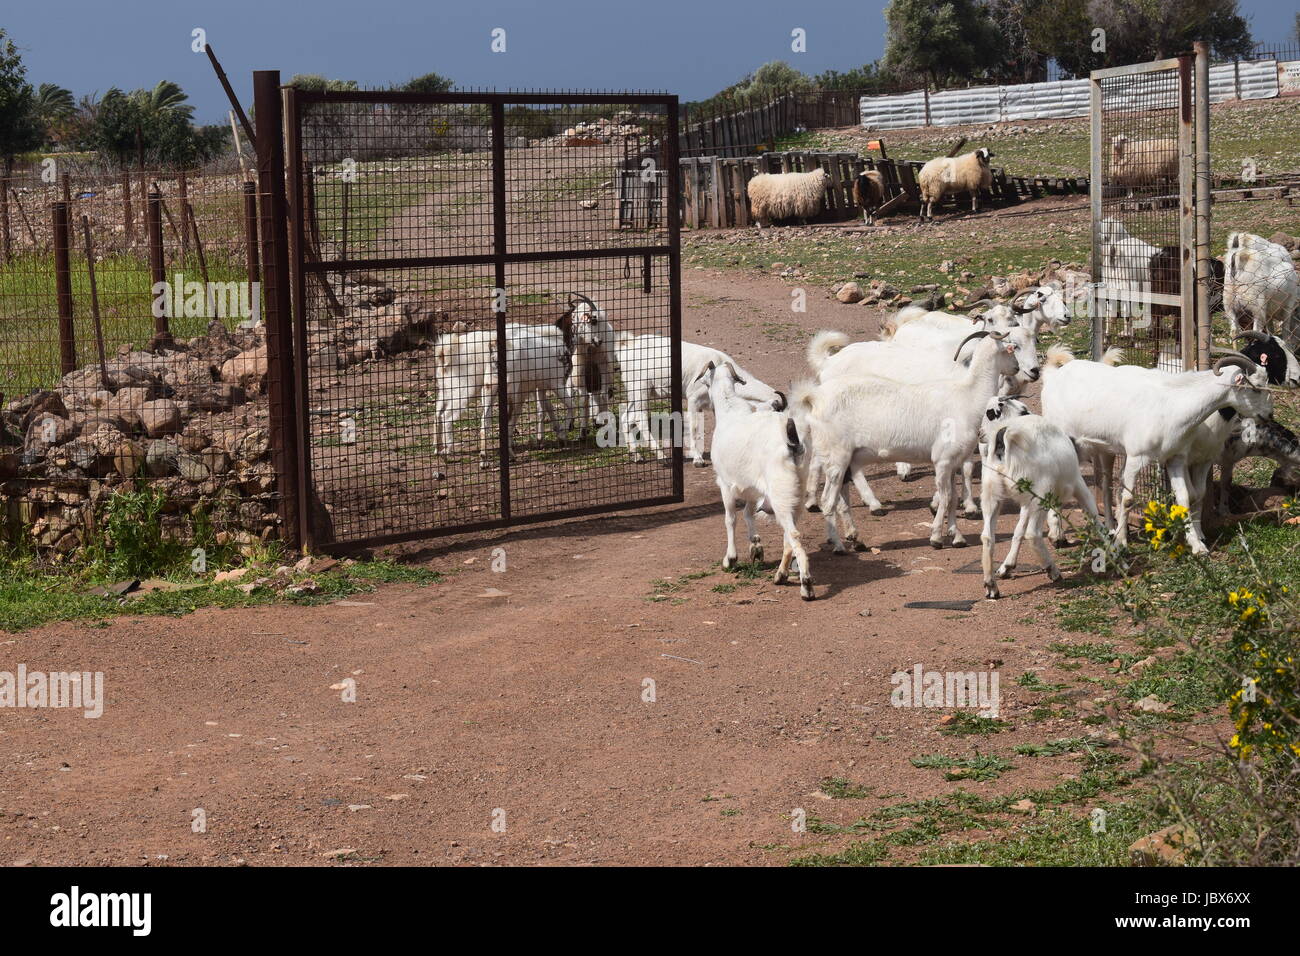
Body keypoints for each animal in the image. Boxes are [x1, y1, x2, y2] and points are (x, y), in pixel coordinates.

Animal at [613, 333, 785, 463]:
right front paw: (697, 459)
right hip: (641, 389)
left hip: (636, 392)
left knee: (627, 417)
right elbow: (694, 427)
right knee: (640, 418)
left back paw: (636, 455)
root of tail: (627, 347)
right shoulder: (693, 399)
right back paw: (661, 456)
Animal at [699, 360, 814, 600]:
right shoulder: (752, 488)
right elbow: (747, 513)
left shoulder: (725, 484)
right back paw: (780, 575)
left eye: (705, 381)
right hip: (796, 496)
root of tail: (793, 443)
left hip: (781, 496)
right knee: (788, 537)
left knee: (793, 535)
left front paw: (730, 559)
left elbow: (731, 518)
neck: (730, 411)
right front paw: (755, 546)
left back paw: (806, 586)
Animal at [796, 329, 1021, 549]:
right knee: (828, 500)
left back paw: (855, 538)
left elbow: (954, 498)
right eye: (1010, 348)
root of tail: (815, 397)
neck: (969, 395)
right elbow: (947, 498)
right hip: (836, 456)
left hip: (846, 458)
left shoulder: (953, 462)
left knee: (842, 498)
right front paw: (936, 538)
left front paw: (957, 537)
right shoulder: (942, 460)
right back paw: (838, 543)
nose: (1017, 368)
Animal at [979, 415, 1102, 600]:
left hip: (991, 493)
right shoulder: (1077, 483)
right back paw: (1053, 570)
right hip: (1042, 492)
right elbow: (1093, 512)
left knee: (987, 537)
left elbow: (1018, 529)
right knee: (1033, 534)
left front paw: (1007, 566)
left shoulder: (1026, 502)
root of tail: (1005, 436)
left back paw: (991, 585)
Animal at [1041, 345, 1271, 554]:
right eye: (1256, 388)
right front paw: (1121, 543)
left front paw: (1197, 546)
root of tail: (1054, 375)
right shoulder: (1136, 456)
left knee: (1105, 485)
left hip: (1105, 449)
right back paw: (1057, 535)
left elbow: (1184, 497)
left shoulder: (1175, 457)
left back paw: (1108, 528)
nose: (1269, 415)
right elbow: (1128, 499)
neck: (1172, 403)